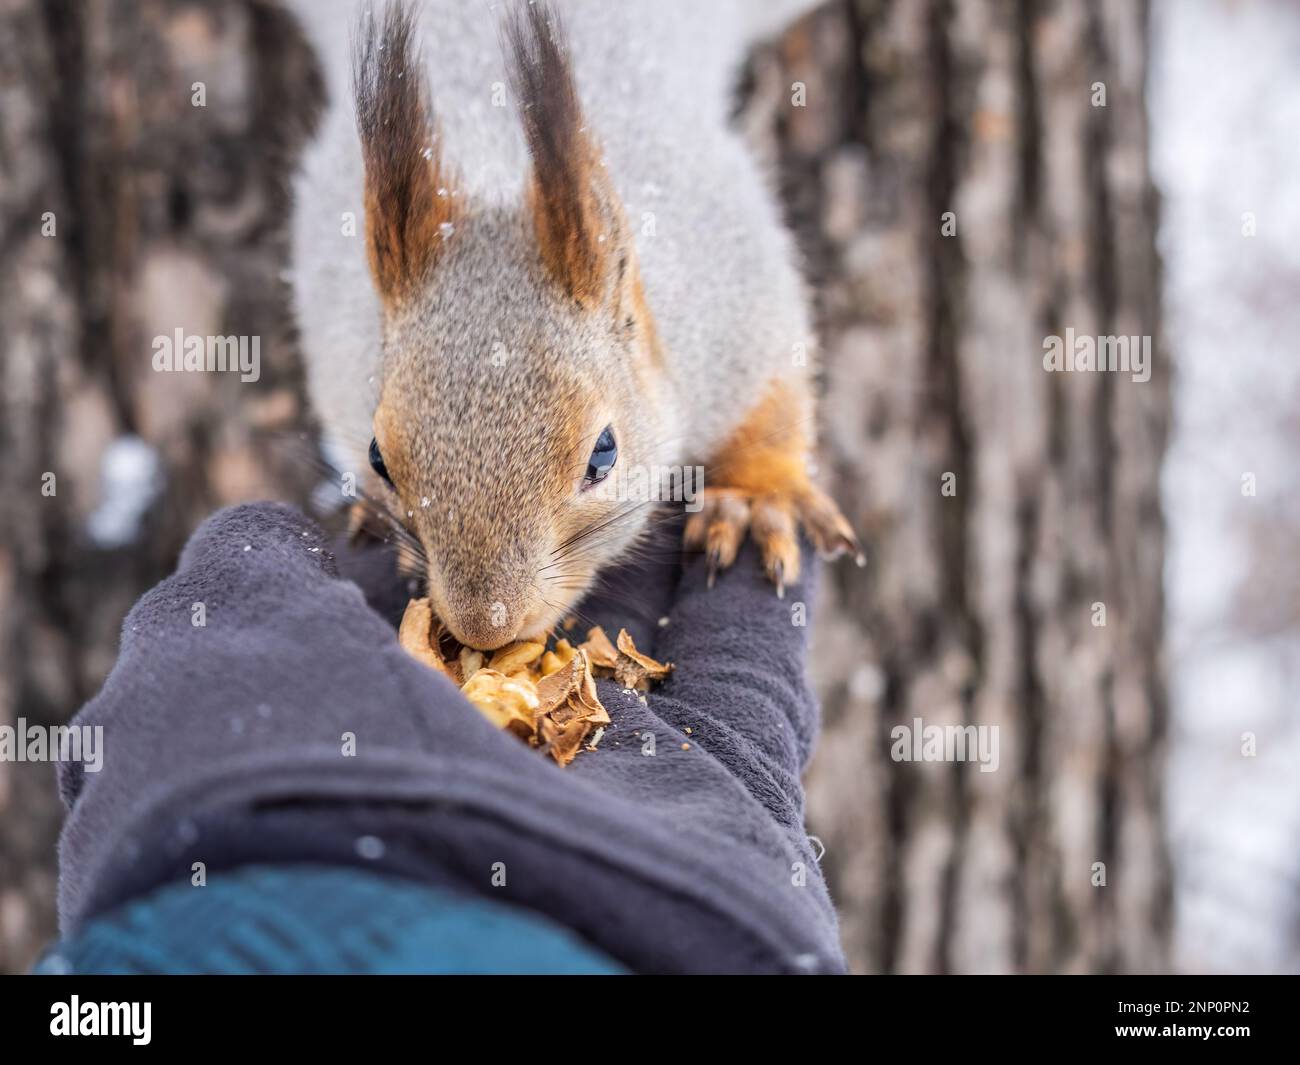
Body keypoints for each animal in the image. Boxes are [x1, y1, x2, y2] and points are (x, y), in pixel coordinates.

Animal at [285, 0, 860, 650]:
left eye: (603, 455)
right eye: (378, 458)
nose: (485, 626)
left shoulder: (736, 294)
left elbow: (775, 394)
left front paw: (754, 500)